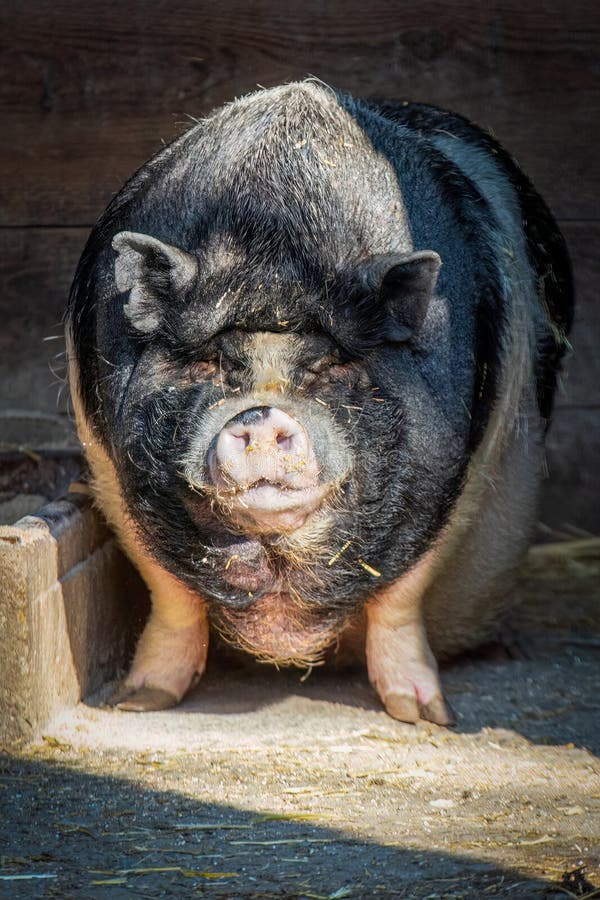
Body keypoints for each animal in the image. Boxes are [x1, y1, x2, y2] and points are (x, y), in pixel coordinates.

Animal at [66, 81, 572, 724]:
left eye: (331, 366)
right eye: (211, 363)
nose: (260, 415)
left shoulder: (460, 469)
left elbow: (400, 596)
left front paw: (426, 716)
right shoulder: (106, 458)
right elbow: (170, 591)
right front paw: (136, 703)